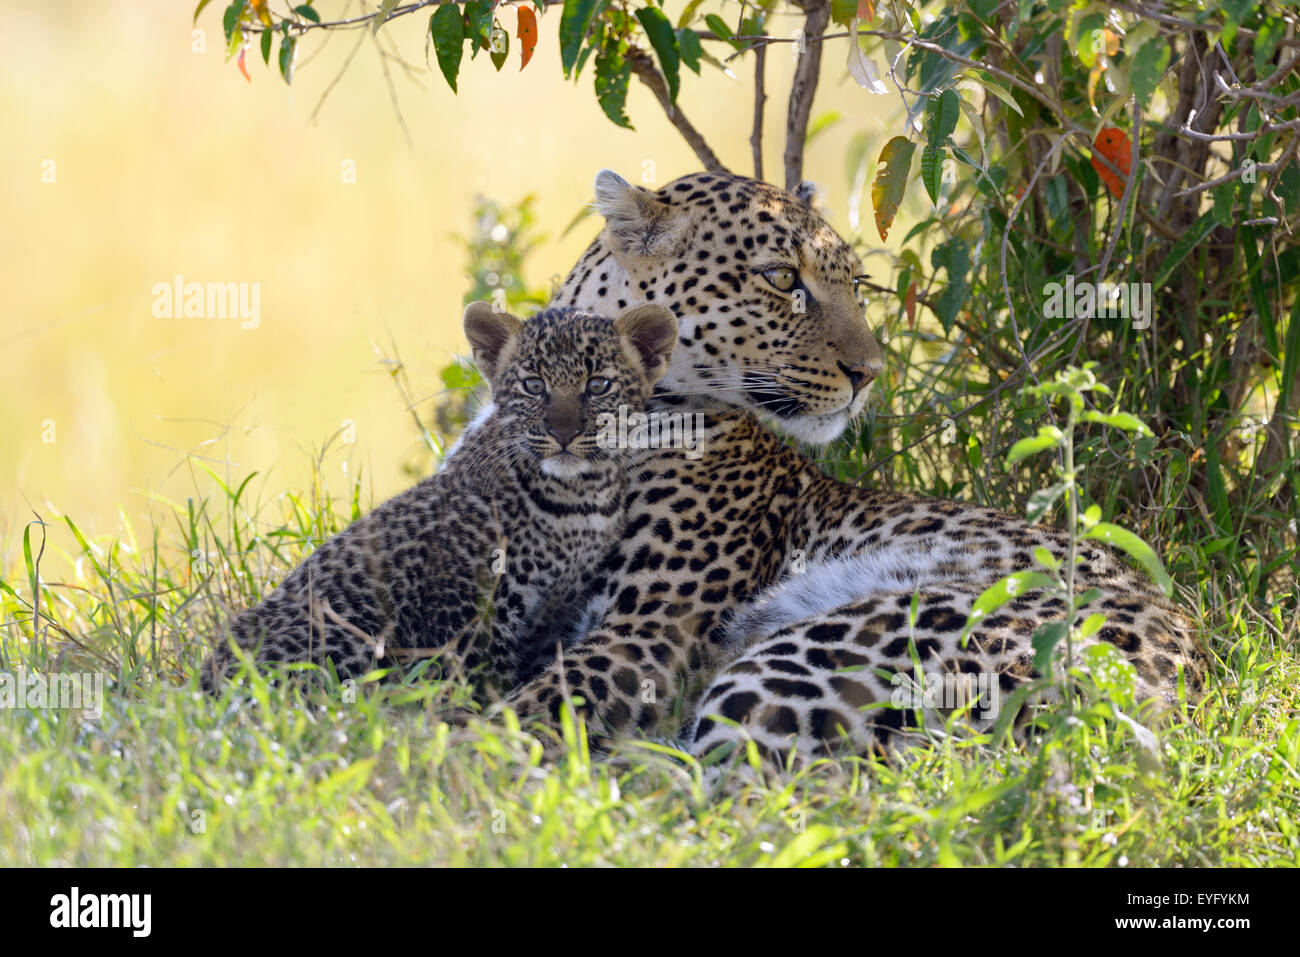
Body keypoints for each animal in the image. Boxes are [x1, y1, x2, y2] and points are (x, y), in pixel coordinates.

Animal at [200, 302, 679, 695]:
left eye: (598, 385)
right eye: (533, 385)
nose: (562, 434)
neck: (578, 498)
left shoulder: (554, 613)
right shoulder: (468, 607)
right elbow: (474, 682)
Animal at [486, 168, 1209, 762]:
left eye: (855, 285)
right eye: (781, 278)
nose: (869, 373)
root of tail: (1181, 694)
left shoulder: (648, 633)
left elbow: (524, 714)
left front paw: (464, 769)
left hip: (823, 650)